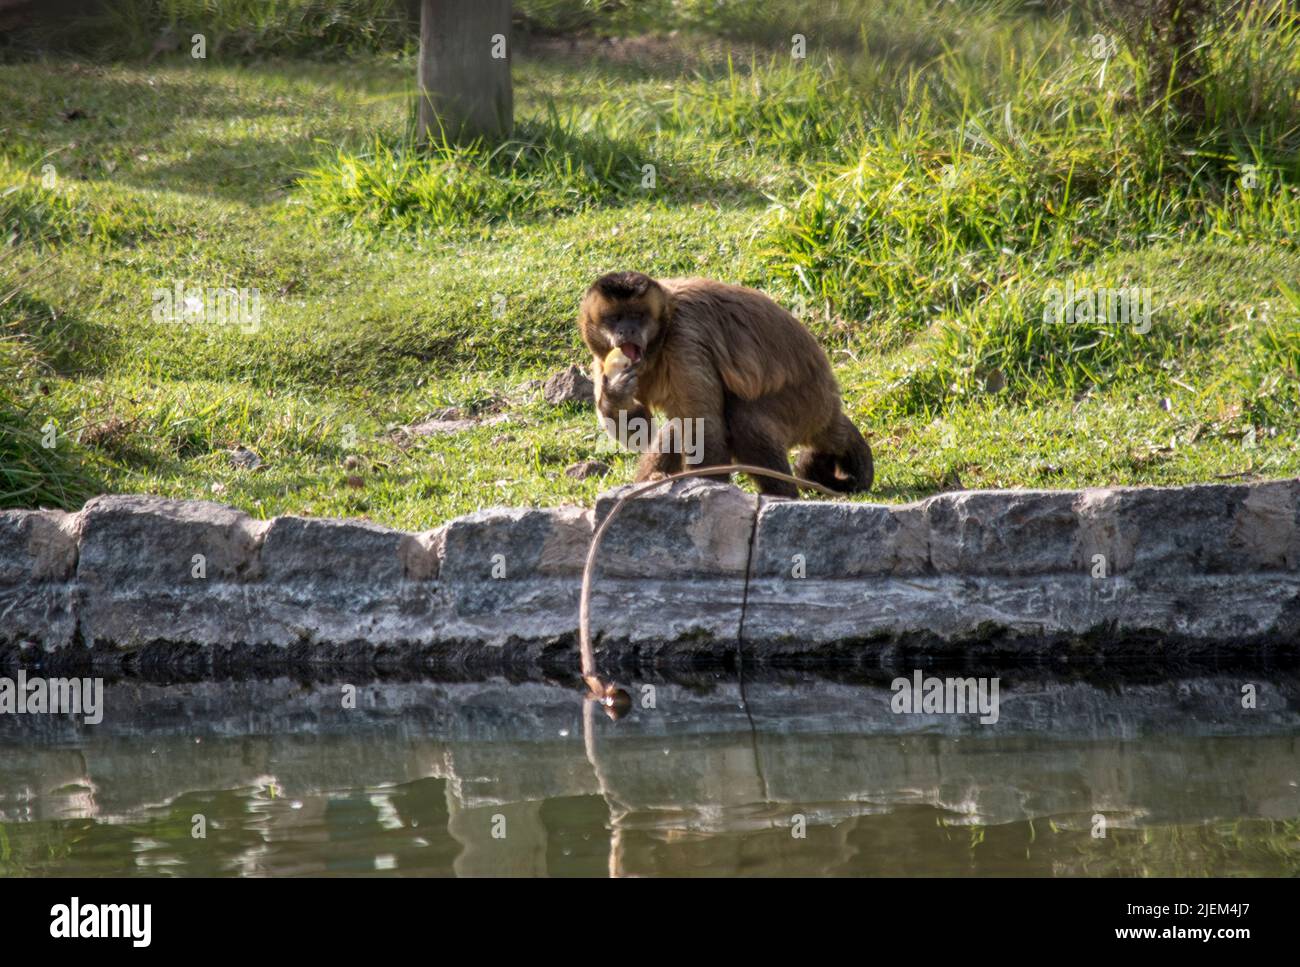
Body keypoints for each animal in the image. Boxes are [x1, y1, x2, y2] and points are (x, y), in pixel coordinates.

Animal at [577, 271, 873, 499]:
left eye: (637, 316)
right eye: (616, 318)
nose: (627, 330)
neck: (659, 341)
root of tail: (831, 403)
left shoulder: (684, 338)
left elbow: (704, 426)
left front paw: (707, 490)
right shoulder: (601, 360)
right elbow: (642, 426)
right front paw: (615, 396)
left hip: (808, 404)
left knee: (743, 418)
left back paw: (782, 495)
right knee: (676, 426)